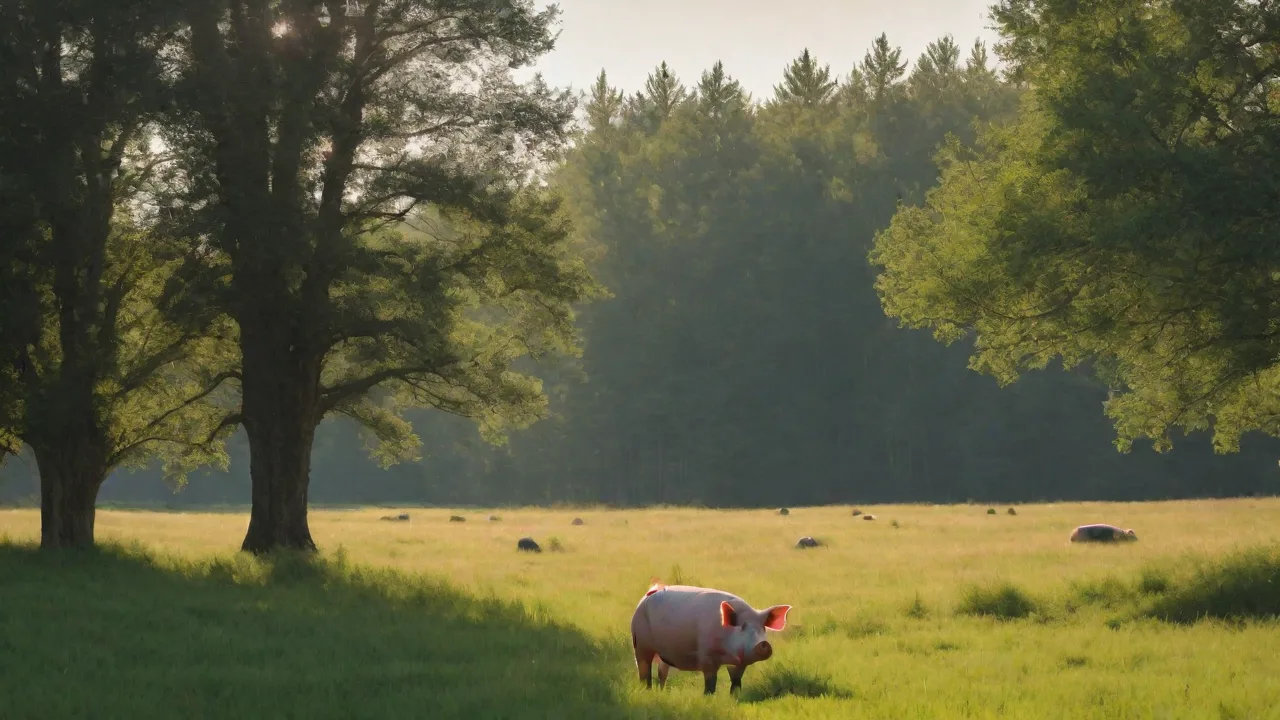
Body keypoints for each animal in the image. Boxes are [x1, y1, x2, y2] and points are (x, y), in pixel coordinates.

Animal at [630, 583, 792, 695]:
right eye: (742, 626)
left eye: (763, 628)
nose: (763, 644)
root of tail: (647, 595)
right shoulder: (706, 656)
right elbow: (710, 683)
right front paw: (708, 697)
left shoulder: (740, 663)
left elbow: (736, 681)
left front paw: (735, 697)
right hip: (640, 644)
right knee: (644, 671)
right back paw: (646, 691)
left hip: (663, 655)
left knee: (661, 673)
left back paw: (662, 692)